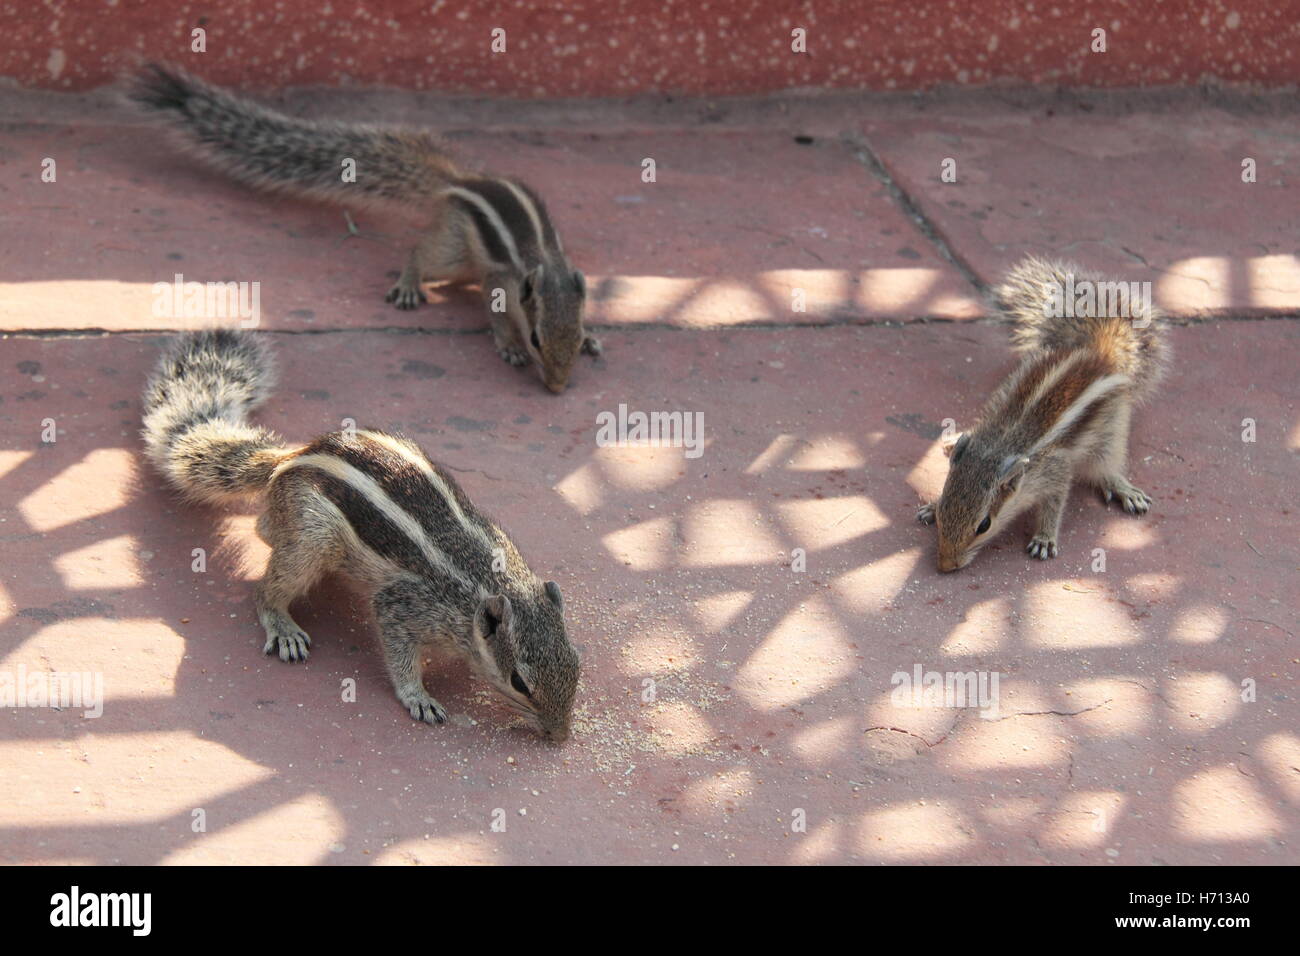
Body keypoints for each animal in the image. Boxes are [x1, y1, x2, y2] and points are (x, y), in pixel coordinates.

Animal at [127, 62, 601, 394]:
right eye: (537, 340)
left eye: (575, 337)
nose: (557, 388)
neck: (545, 265)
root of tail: (458, 181)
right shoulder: (500, 282)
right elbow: (497, 315)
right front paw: (509, 346)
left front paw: (594, 340)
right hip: (452, 250)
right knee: (420, 254)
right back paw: (409, 284)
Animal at [141, 328, 580, 741]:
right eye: (519, 681)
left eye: (576, 659)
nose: (559, 736)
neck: (490, 582)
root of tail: (292, 455)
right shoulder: (405, 606)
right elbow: (398, 653)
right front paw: (418, 697)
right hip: (313, 536)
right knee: (268, 583)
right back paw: (282, 625)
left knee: (264, 528)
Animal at [917, 256, 1170, 572]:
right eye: (943, 504)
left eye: (984, 525)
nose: (945, 565)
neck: (999, 448)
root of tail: (1097, 353)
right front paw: (928, 507)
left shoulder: (1055, 471)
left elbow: (1055, 504)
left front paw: (1045, 538)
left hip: (1111, 431)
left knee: (1106, 466)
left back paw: (1123, 487)